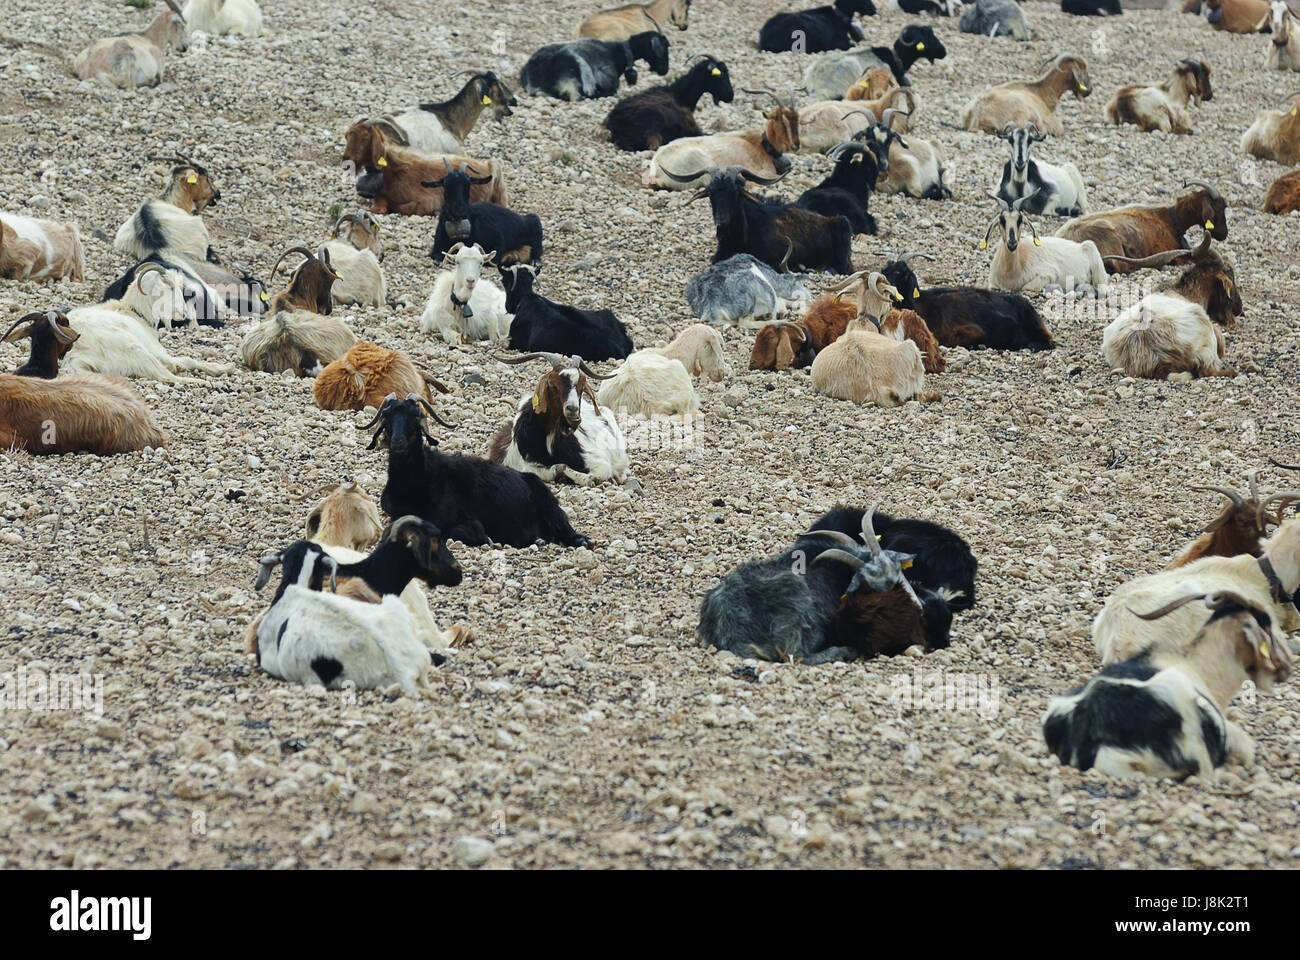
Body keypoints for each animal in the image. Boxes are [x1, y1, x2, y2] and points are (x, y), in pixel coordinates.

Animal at [63, 265, 235, 384]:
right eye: (171, 286)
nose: (184, 315)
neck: (136, 312)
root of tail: (72, 356)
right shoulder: (155, 350)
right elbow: (187, 360)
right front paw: (225, 367)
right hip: (135, 350)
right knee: (167, 377)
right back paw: (201, 382)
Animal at [342, 122, 506, 215]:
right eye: (347, 136)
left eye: (365, 138)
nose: (346, 161)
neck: (392, 171)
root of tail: (489, 166)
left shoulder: (426, 200)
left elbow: (402, 207)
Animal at [363, 394, 592, 548]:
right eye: (386, 416)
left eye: (416, 416)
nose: (397, 442)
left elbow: (456, 529)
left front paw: (484, 537)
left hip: (551, 508)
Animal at [487, 354, 633, 488]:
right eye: (552, 384)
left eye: (581, 386)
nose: (572, 409)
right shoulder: (521, 462)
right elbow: (557, 467)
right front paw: (584, 478)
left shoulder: (596, 460)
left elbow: (601, 470)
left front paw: (589, 478)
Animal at [645, 90, 801, 188]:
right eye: (783, 122)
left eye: (797, 119)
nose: (796, 145)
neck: (759, 144)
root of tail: (655, 172)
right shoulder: (762, 172)